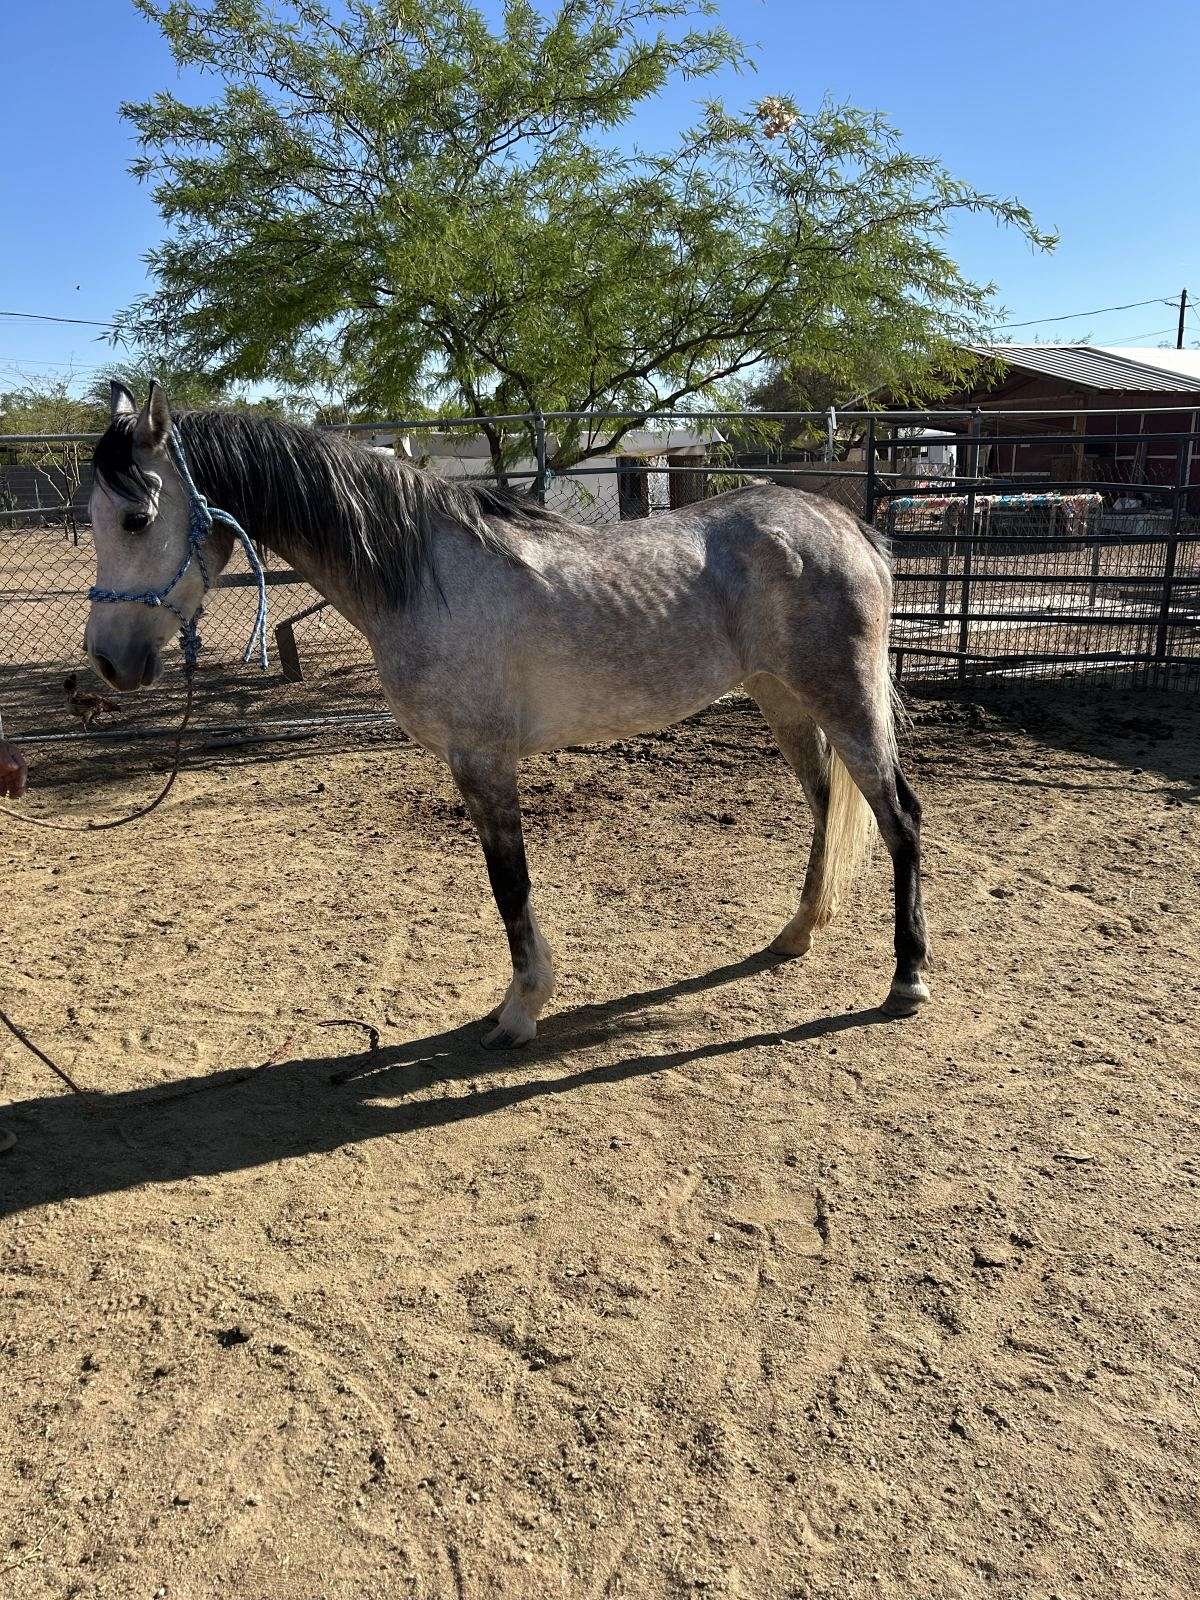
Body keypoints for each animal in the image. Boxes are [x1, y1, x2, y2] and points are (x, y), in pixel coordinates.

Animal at [85, 381, 929, 1047]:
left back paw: (906, 980)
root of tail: (850, 527)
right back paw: (796, 935)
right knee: (826, 804)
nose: (108, 662)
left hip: (845, 698)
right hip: (782, 698)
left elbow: (508, 884)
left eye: (135, 519)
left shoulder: (483, 762)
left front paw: (520, 1010)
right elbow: (507, 886)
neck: (421, 572)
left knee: (900, 819)